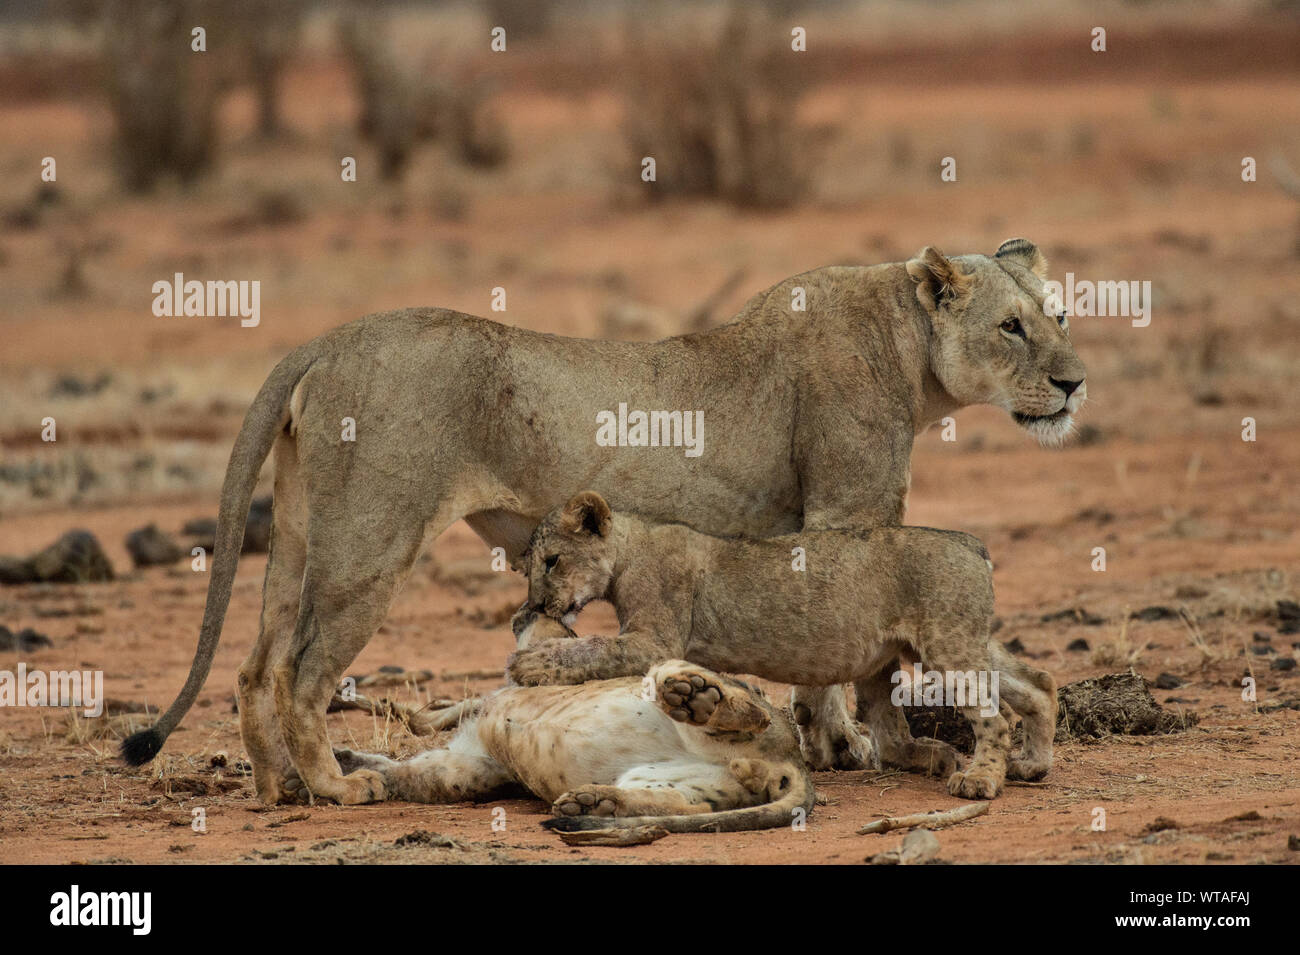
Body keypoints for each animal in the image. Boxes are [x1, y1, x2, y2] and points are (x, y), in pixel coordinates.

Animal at [281, 612, 814, 832]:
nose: (529, 608)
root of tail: (790, 760)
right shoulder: (474, 764)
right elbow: (407, 772)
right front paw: (328, 771)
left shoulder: (476, 751)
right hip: (684, 781)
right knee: (688, 805)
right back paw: (596, 802)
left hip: (682, 679)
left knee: (747, 706)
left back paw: (698, 697)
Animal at [509, 491, 1058, 798]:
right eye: (529, 566)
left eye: (552, 561)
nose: (535, 605)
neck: (629, 547)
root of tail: (972, 543)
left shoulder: (653, 640)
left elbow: (592, 649)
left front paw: (530, 661)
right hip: (956, 642)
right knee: (1038, 684)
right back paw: (1028, 764)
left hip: (946, 647)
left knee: (994, 718)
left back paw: (981, 781)